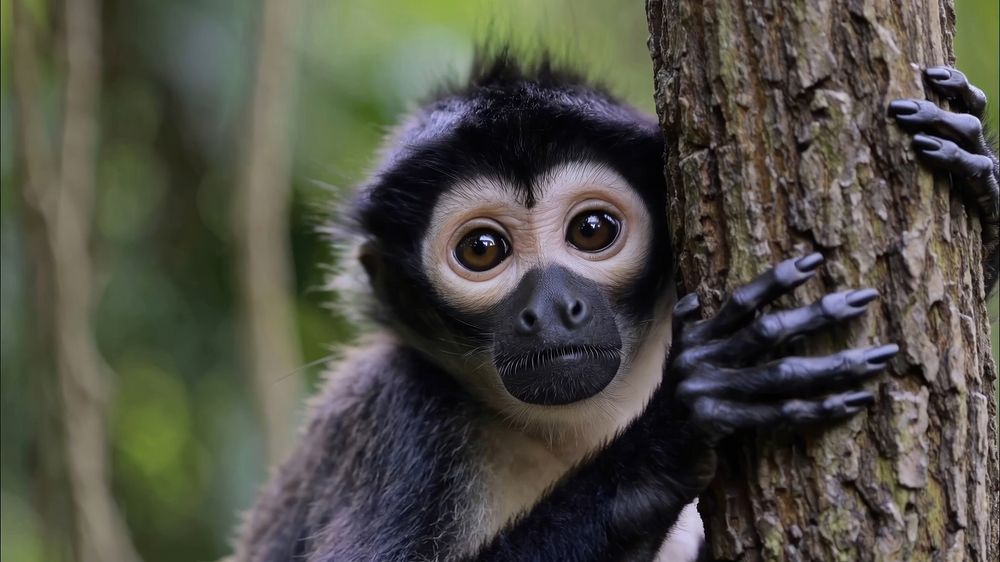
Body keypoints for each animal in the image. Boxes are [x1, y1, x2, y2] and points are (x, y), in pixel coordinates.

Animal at [231, 52, 999, 562]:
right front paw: (670, 431)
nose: (552, 307)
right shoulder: (404, 418)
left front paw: (982, 184)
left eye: (593, 230)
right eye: (481, 249)